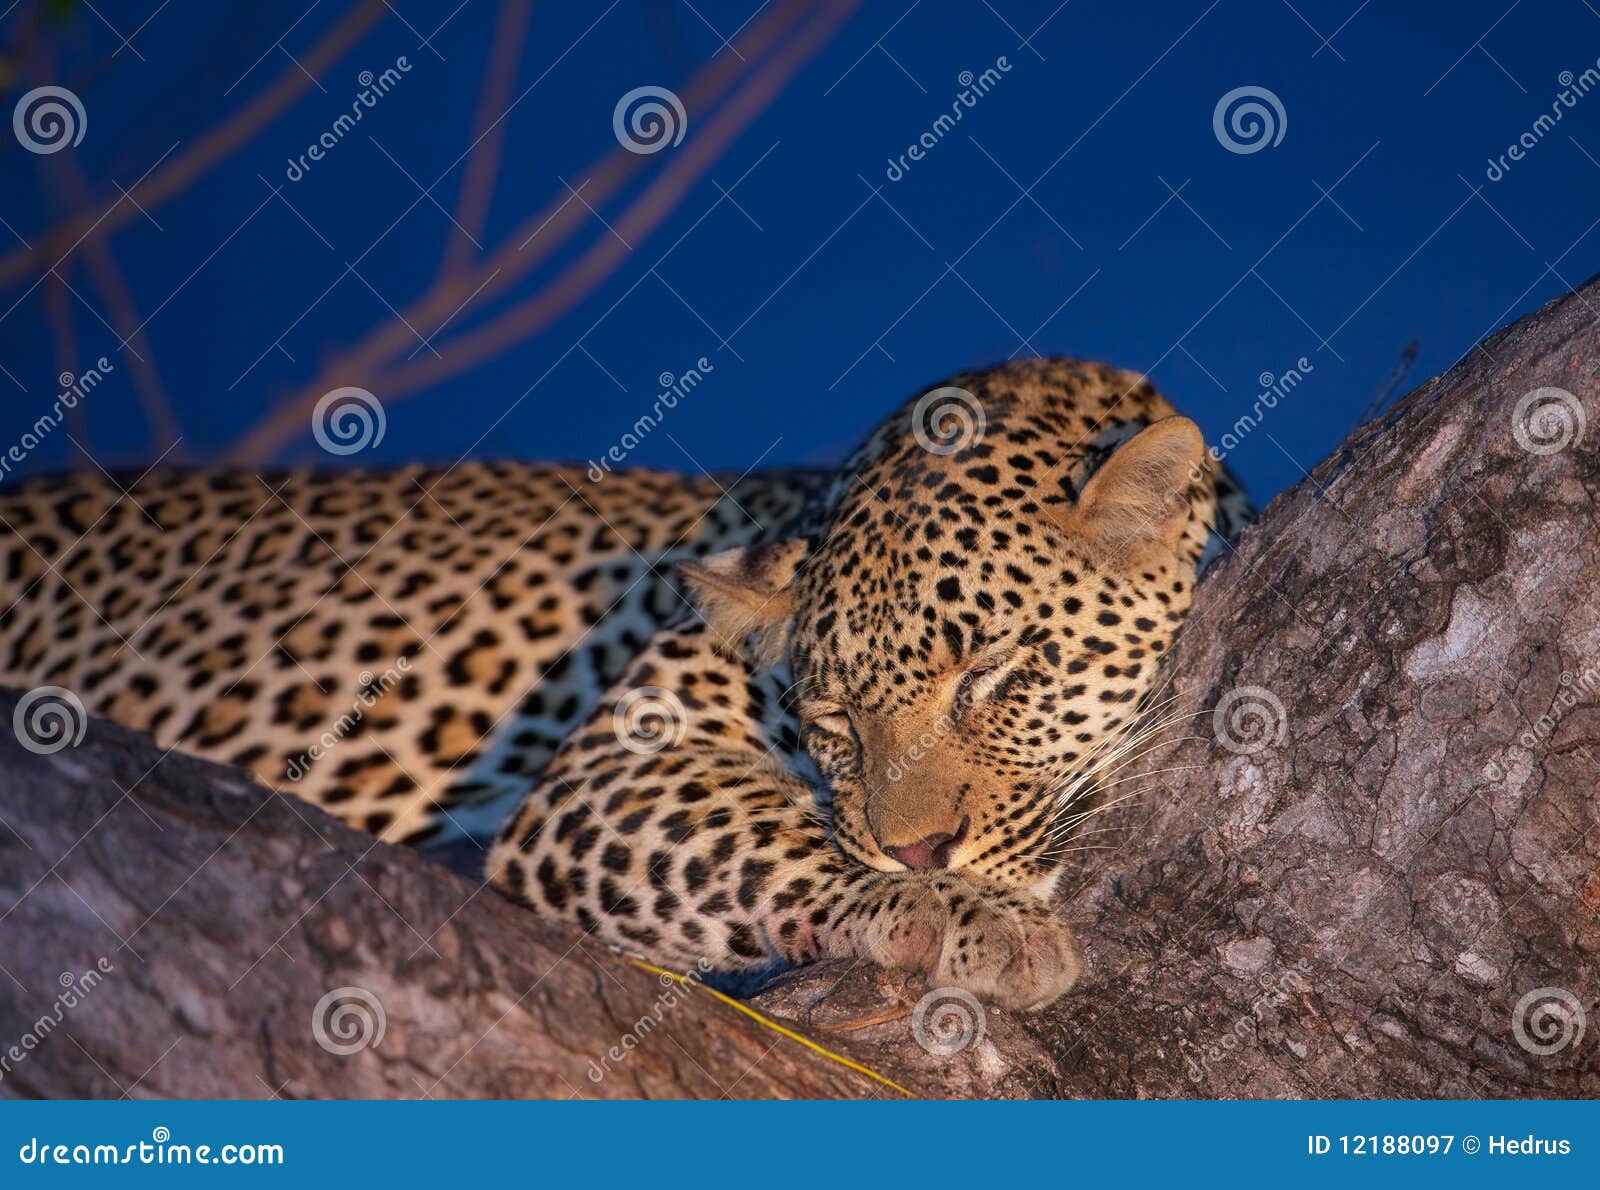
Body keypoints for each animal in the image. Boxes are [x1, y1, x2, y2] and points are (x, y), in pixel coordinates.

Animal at [486, 358, 1251, 1008]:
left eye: (985, 673)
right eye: (837, 720)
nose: (919, 854)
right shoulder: (607, 763)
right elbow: (763, 831)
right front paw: (963, 908)